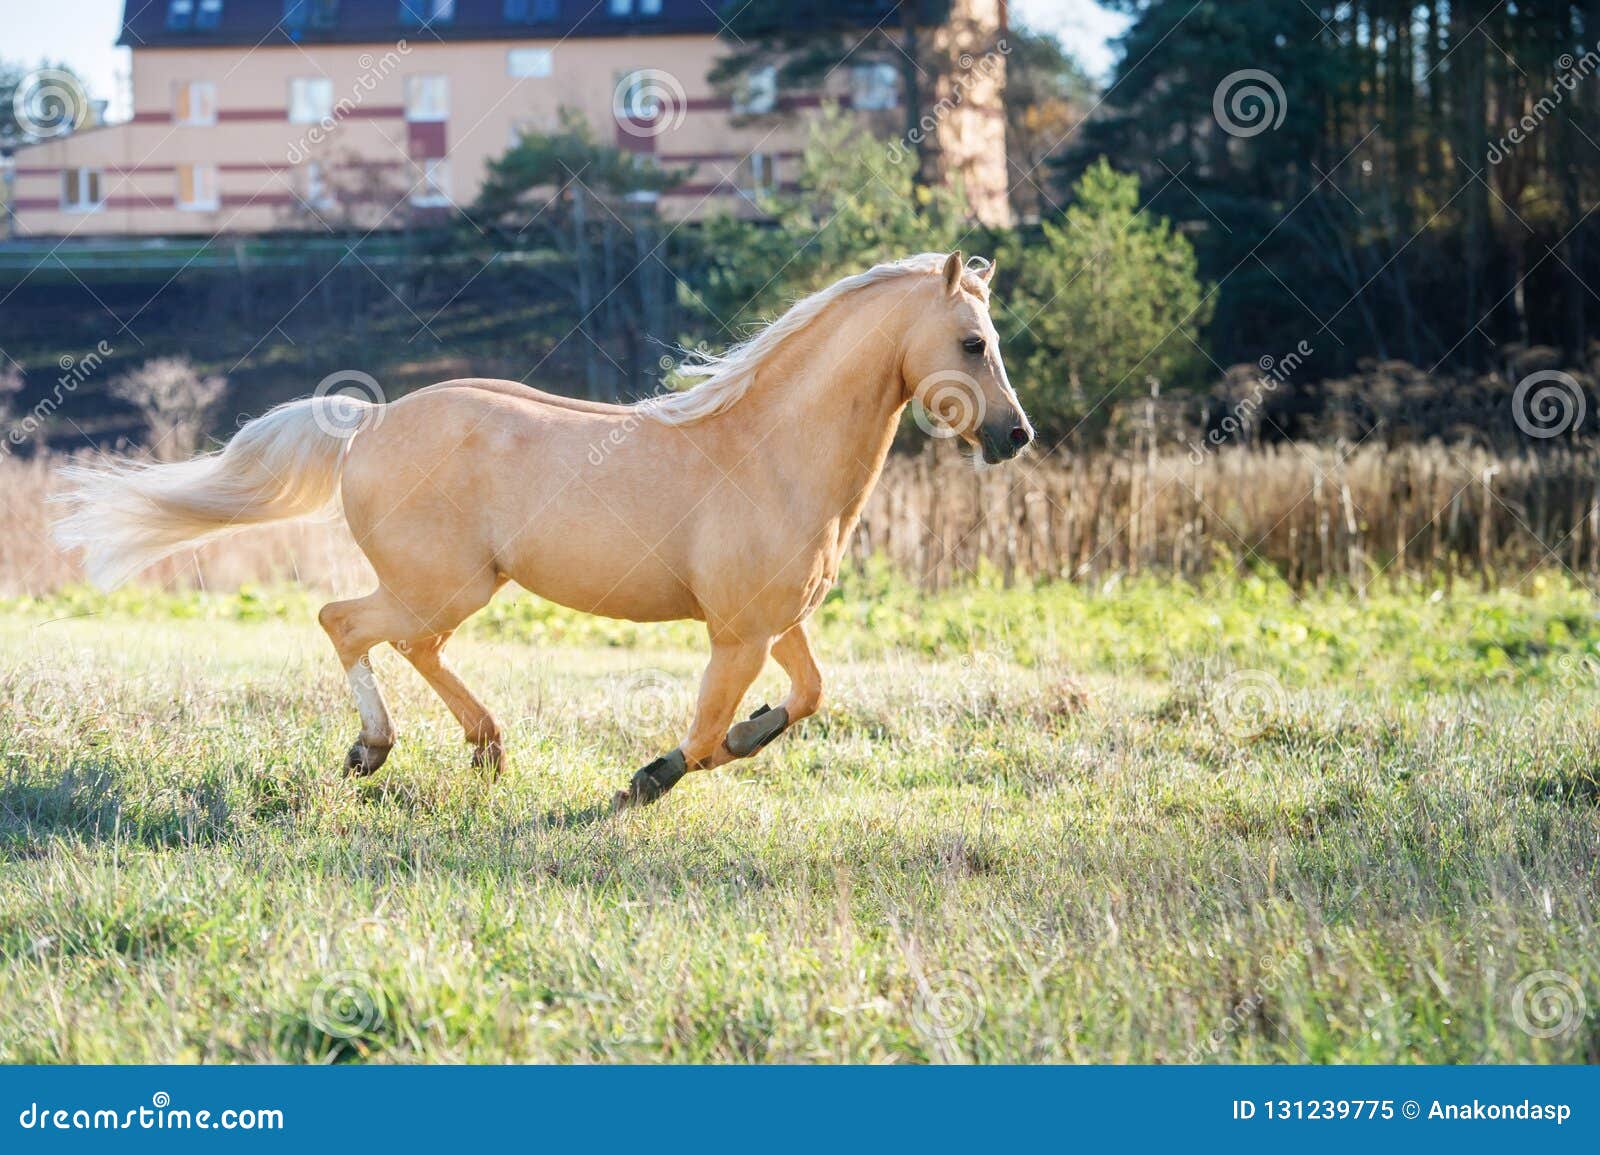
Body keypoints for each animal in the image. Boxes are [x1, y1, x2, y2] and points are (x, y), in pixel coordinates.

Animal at [53, 251, 1035, 808]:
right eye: (973, 342)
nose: (1015, 436)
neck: (768, 452)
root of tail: (365, 423)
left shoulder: (774, 622)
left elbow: (807, 696)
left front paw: (750, 735)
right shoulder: (736, 633)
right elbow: (704, 733)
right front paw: (647, 779)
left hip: (455, 588)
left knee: (407, 644)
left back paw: (482, 748)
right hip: (439, 584)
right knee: (347, 623)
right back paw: (374, 751)